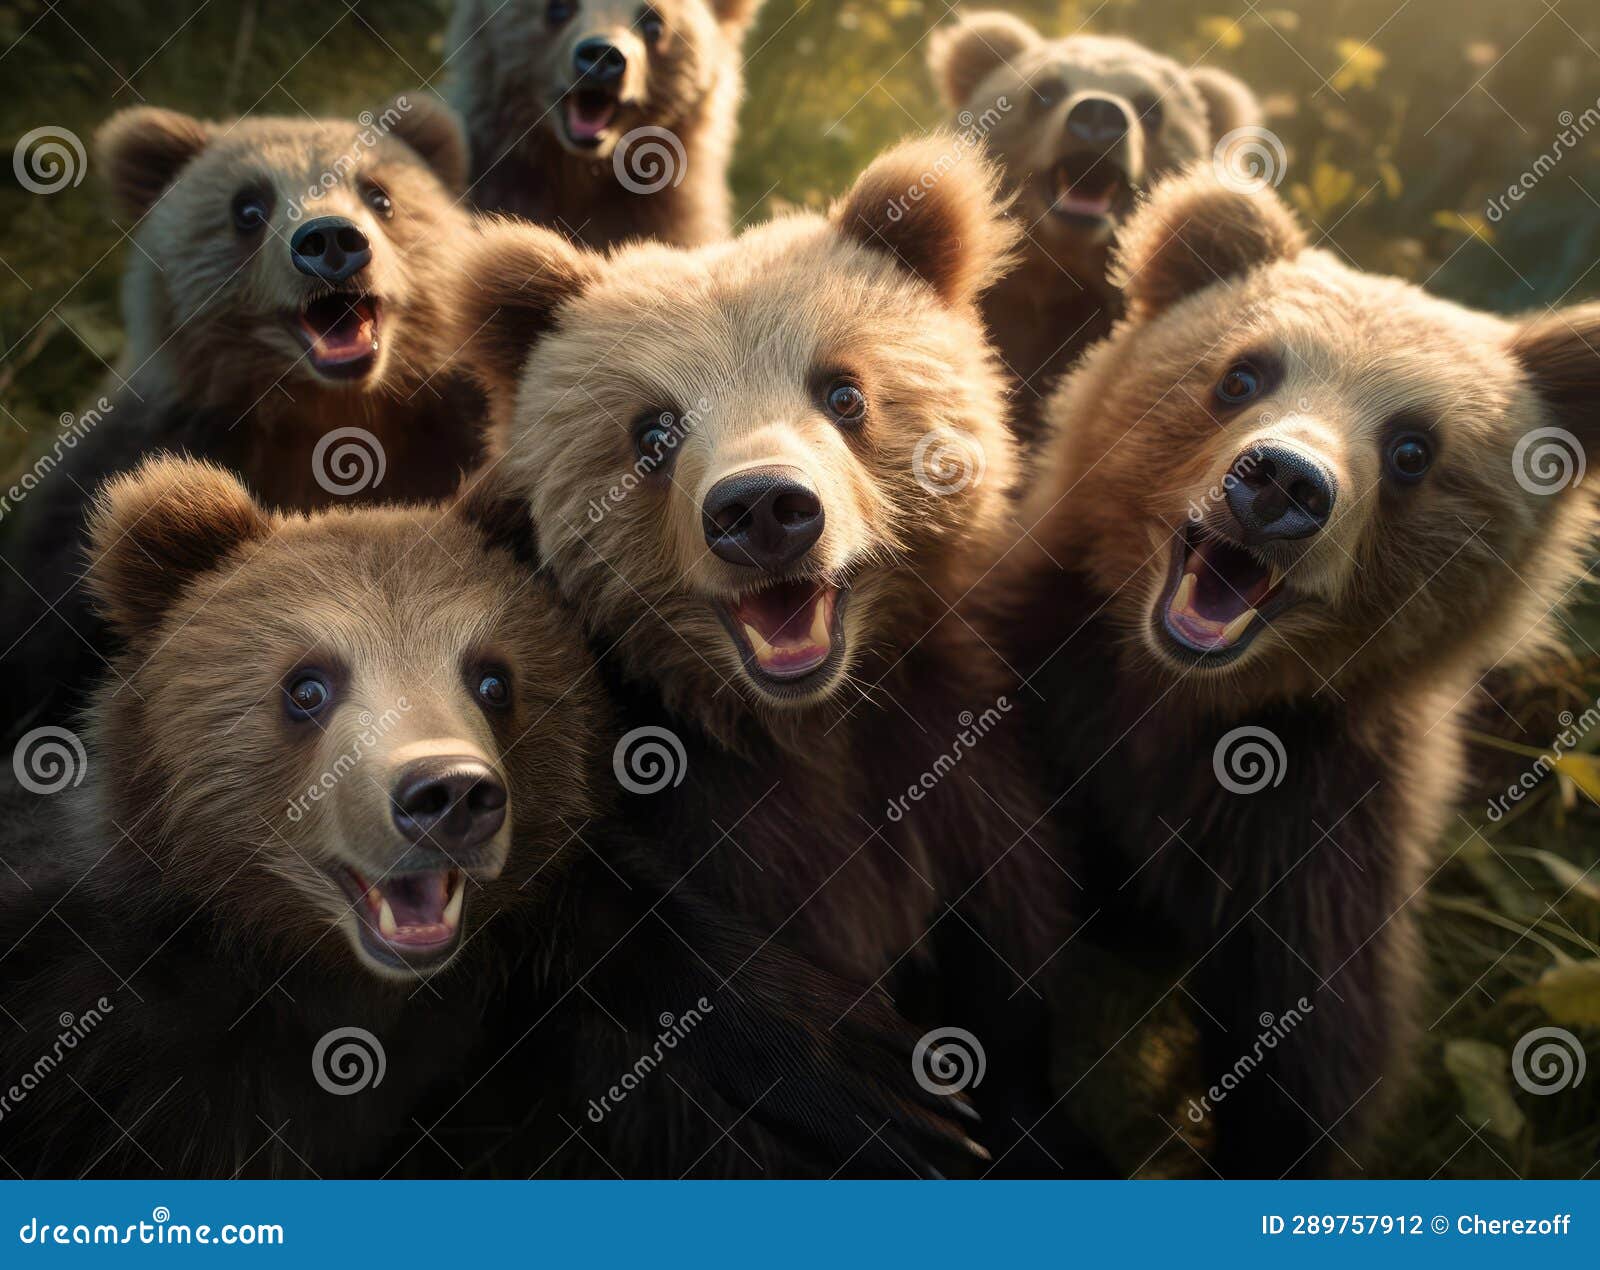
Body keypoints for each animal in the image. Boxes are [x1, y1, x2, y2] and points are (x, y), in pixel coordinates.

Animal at [454, 136, 1100, 1173]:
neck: (798, 719)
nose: (762, 508)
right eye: (654, 429)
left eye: (843, 391)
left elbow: (1011, 942)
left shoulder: (947, 755)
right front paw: (880, 1086)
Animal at [992, 165, 1600, 1176]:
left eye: (1413, 448)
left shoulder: (1317, 829)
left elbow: (1309, 1073)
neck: (1181, 697)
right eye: (1242, 374)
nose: (1280, 482)